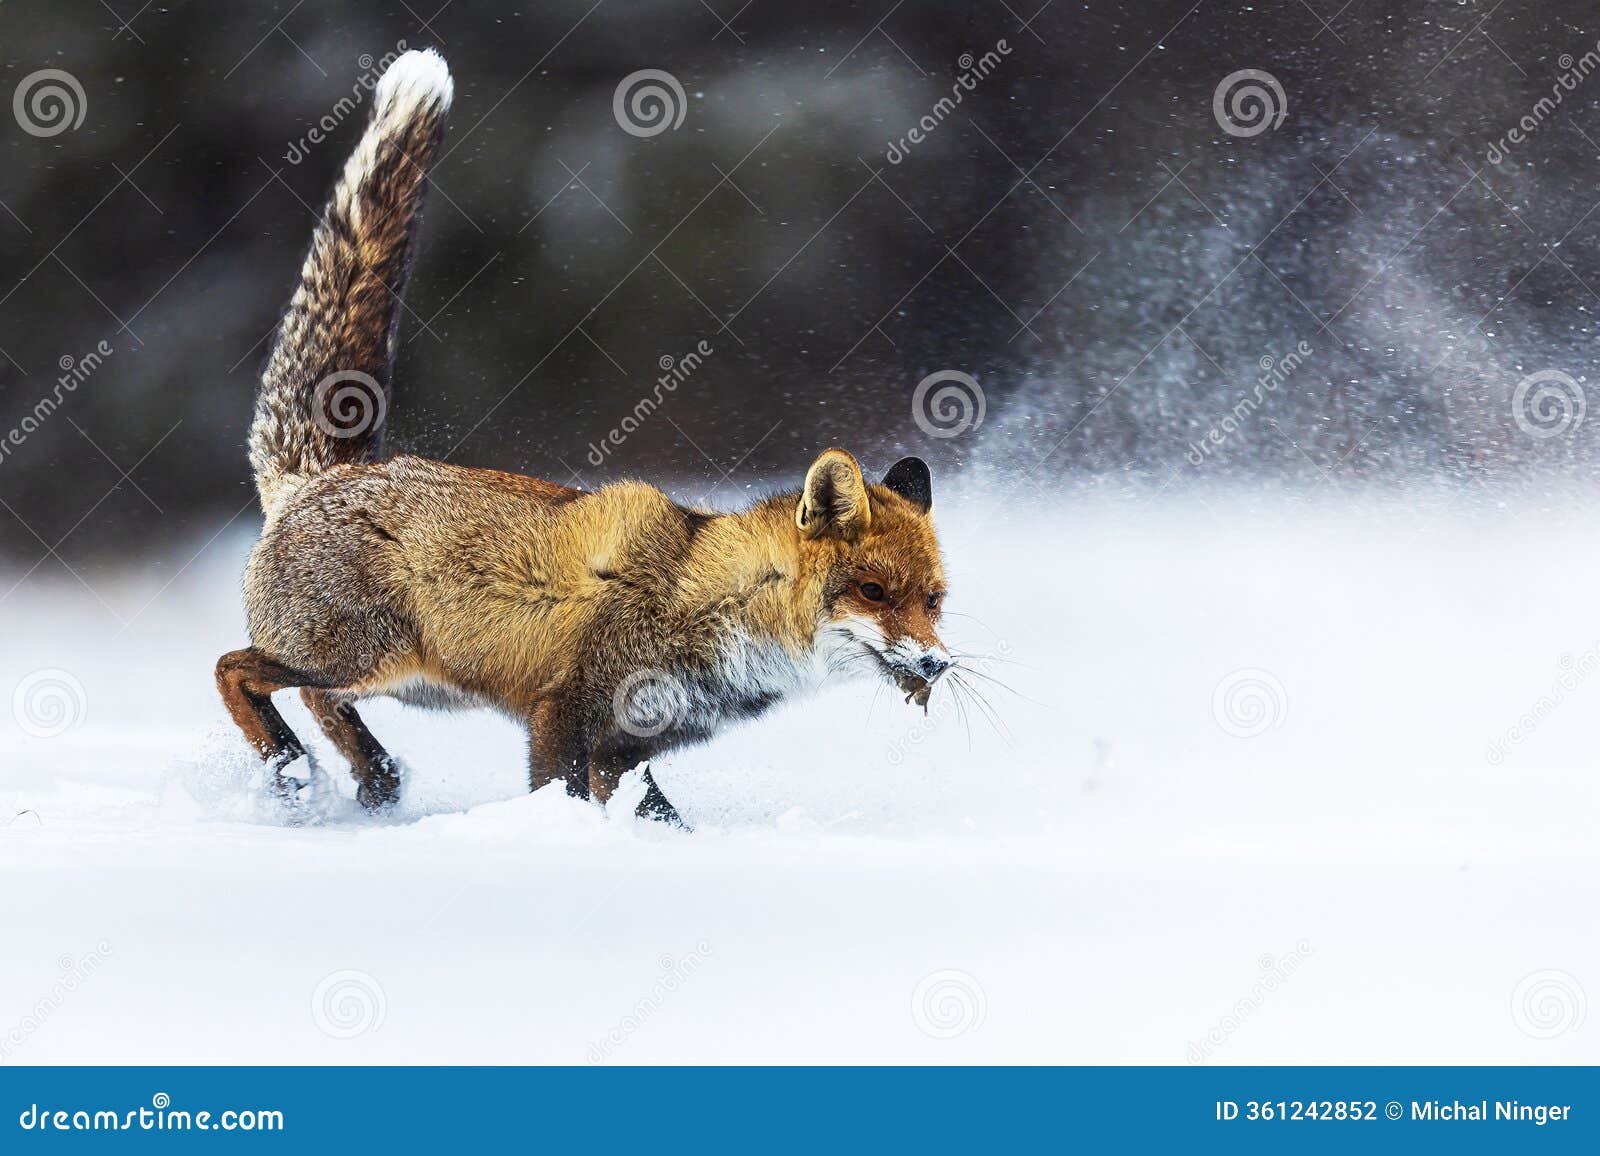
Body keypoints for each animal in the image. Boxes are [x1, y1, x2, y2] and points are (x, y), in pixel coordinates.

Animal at [217, 49, 954, 826]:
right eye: (873, 592)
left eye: (933, 603)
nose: (936, 663)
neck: (712, 601)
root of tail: (323, 477)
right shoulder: (564, 711)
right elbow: (560, 793)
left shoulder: (625, 746)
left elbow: (657, 816)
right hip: (365, 656)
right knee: (237, 671)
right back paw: (290, 769)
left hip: (404, 680)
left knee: (312, 695)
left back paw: (369, 776)